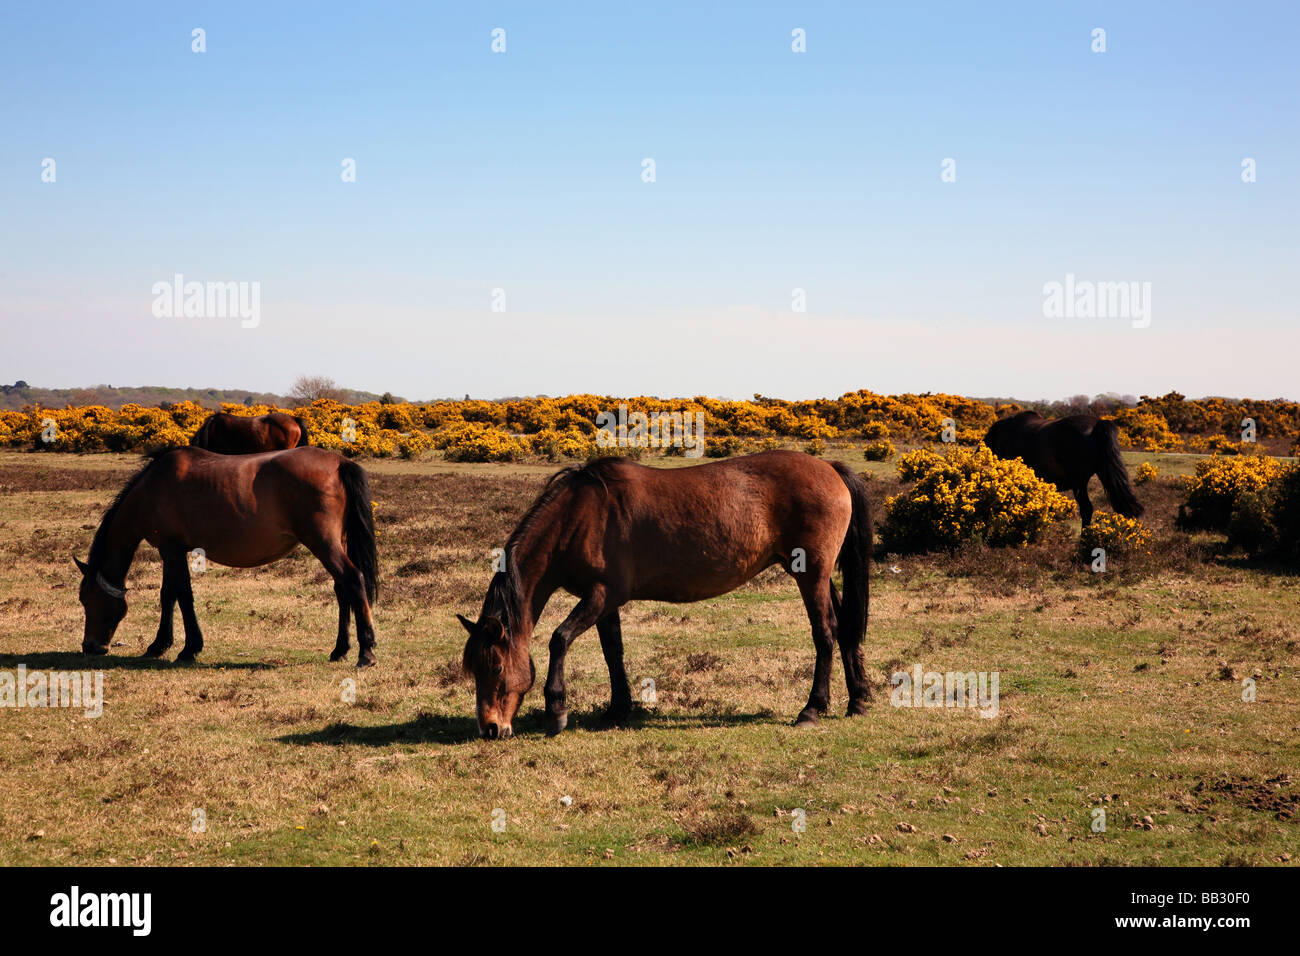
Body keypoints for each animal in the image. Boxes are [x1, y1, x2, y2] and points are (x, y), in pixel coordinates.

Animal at [74, 446, 378, 666]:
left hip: (324, 543)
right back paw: (340, 650)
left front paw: (189, 648)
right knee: (342, 589)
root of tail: (339, 463)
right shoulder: (170, 551)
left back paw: (366, 652)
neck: (152, 488)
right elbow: (168, 594)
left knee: (353, 580)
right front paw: (159, 645)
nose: (90, 646)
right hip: (335, 544)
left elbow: (182, 594)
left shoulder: (171, 549)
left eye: (86, 600)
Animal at [457, 450, 873, 739]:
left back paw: (812, 709)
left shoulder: (602, 595)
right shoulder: (605, 602)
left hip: (811, 573)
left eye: (495, 667)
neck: (579, 517)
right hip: (815, 574)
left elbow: (559, 640)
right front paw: (617, 709)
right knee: (845, 627)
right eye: (473, 668)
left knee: (825, 632)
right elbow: (613, 652)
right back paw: (857, 700)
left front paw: (557, 710)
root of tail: (830, 468)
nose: (490, 729)